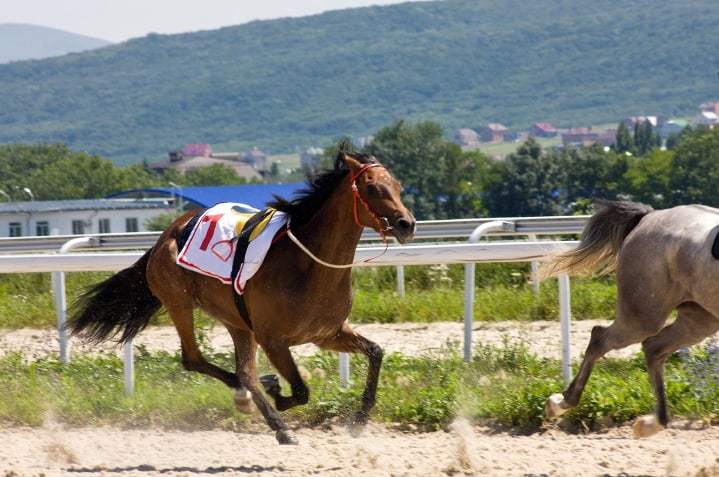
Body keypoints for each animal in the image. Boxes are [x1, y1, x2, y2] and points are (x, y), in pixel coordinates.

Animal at [68, 151, 416, 445]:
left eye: (398, 187)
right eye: (372, 189)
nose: (407, 224)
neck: (309, 265)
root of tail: (165, 235)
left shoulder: (327, 333)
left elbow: (376, 352)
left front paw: (360, 418)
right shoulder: (273, 339)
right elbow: (301, 390)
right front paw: (280, 398)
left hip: (236, 321)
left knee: (244, 371)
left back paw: (256, 395)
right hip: (180, 303)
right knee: (197, 359)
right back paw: (274, 420)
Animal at [542, 200, 719, 438]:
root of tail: (649, 217)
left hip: (700, 319)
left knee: (654, 347)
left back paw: (653, 423)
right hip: (644, 316)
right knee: (601, 338)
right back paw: (560, 403)